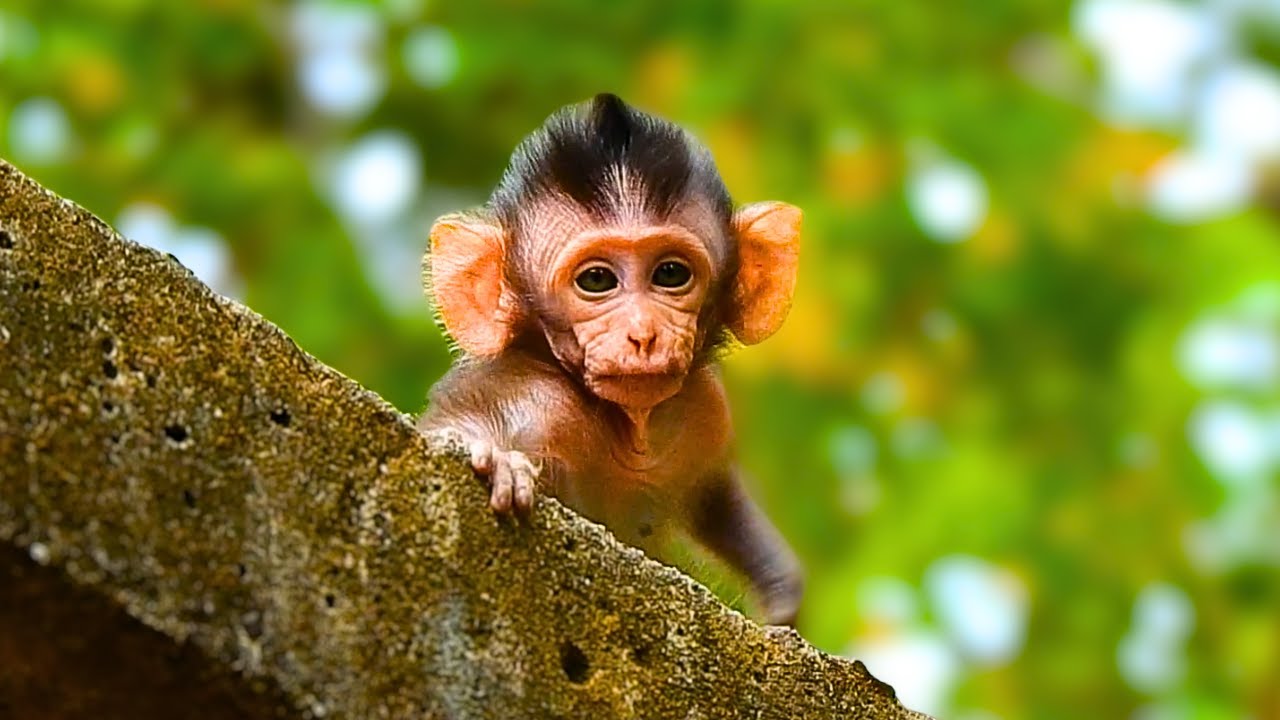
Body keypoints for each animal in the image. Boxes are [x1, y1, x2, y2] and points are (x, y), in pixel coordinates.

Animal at [417, 93, 803, 625]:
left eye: (670, 274)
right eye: (597, 280)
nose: (642, 333)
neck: (629, 430)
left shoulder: (707, 411)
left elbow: (716, 499)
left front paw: (782, 592)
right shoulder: (533, 396)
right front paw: (495, 460)